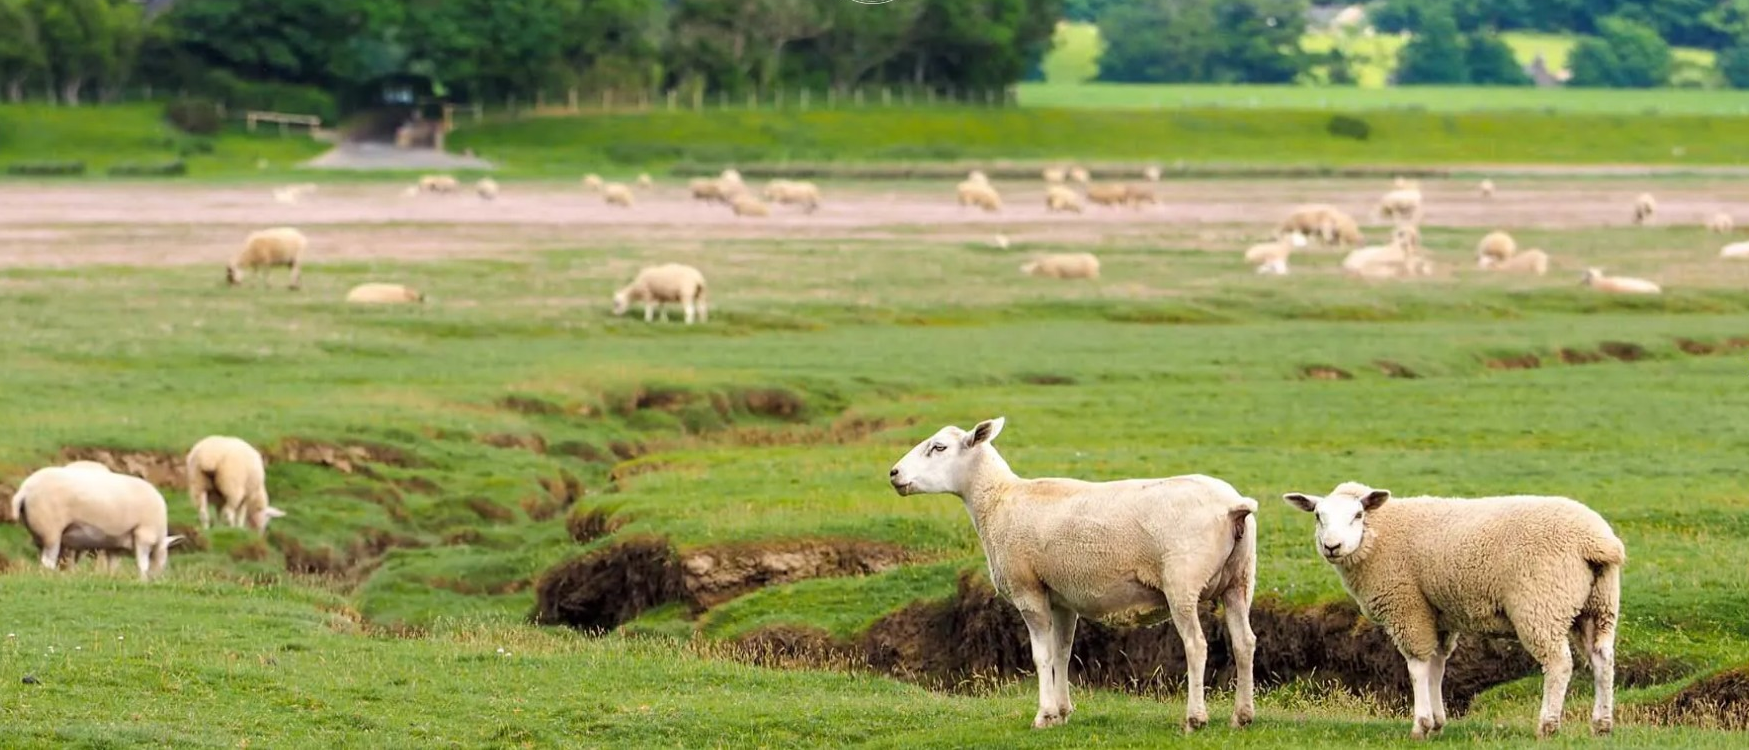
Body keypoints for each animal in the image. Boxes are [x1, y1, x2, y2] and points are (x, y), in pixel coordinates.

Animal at [11, 465, 184, 581]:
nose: (157, 578)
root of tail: (25, 489)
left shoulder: (115, 546)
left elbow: (113, 565)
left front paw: (113, 578)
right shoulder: (143, 534)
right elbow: (143, 564)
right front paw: (143, 581)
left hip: (40, 533)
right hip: (50, 531)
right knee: (48, 562)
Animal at [888, 418, 1258, 732]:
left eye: (938, 448)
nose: (893, 473)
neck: (997, 502)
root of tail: (1233, 506)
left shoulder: (1028, 591)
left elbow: (1041, 656)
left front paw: (1044, 715)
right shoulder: (1061, 598)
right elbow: (1062, 652)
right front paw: (1063, 712)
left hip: (1182, 582)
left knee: (1196, 645)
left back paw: (1195, 719)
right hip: (1240, 580)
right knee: (1244, 642)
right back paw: (1242, 717)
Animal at [1282, 482, 1623, 739]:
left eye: (1357, 514)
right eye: (1318, 516)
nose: (1332, 546)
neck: (1380, 535)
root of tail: (1596, 541)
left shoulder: (1407, 606)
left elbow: (1417, 667)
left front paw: (1421, 725)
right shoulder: (1436, 614)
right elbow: (1437, 665)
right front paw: (1437, 722)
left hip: (1541, 603)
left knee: (1559, 663)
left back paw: (1548, 725)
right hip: (1598, 604)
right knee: (1602, 658)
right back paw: (1602, 724)